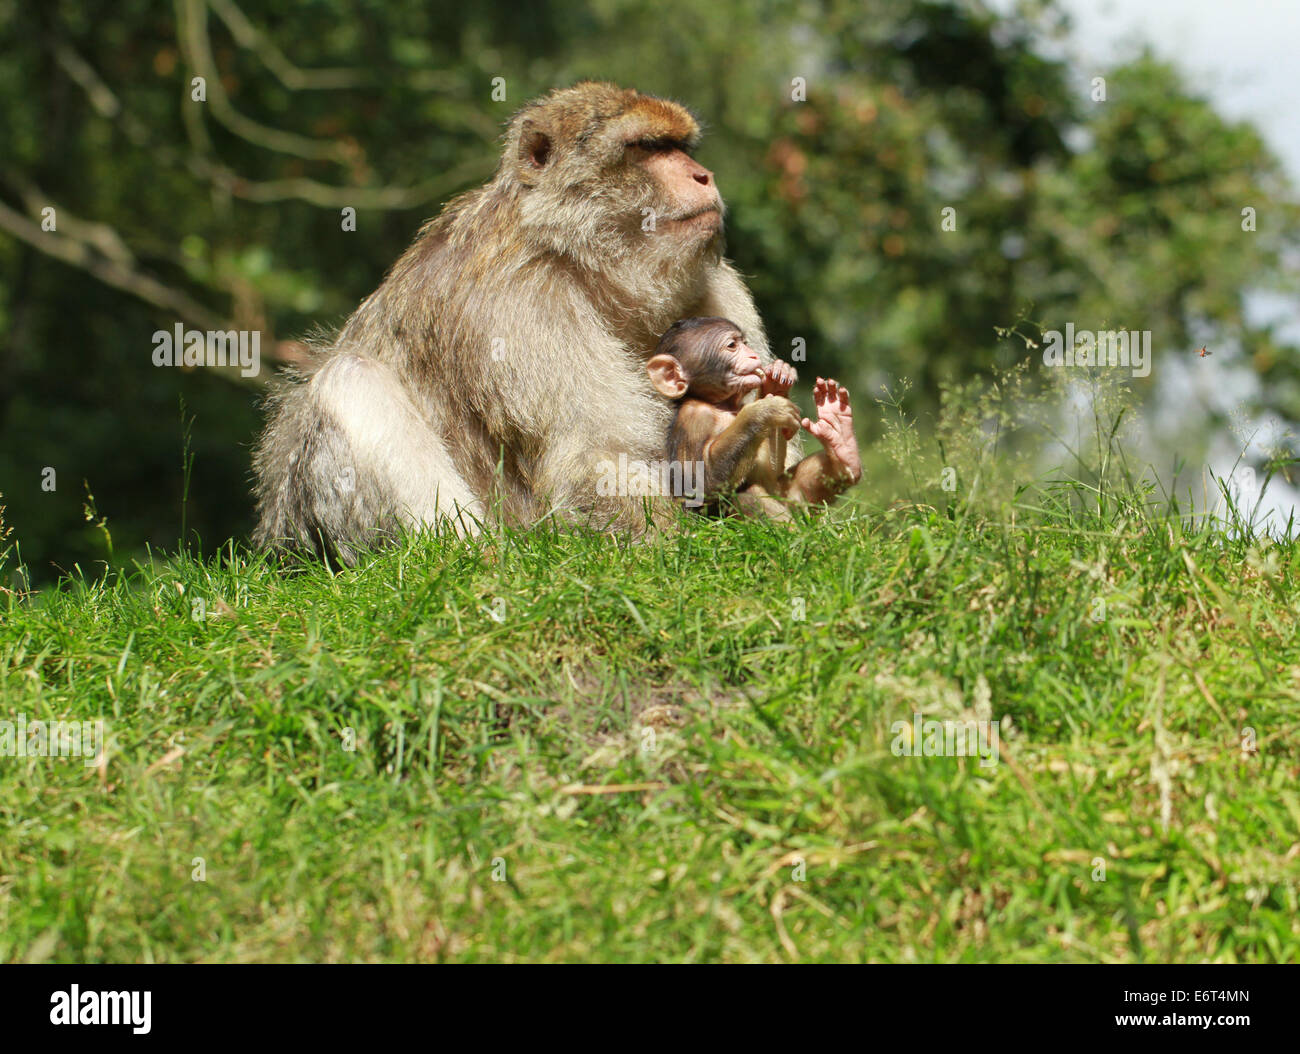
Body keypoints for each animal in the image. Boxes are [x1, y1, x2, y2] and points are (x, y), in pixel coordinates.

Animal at [252, 83, 797, 563]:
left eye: (679, 147)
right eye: (648, 148)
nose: (703, 176)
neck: (584, 259)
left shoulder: (716, 288)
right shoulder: (522, 303)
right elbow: (591, 457)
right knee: (351, 380)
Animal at [646, 316, 862, 517]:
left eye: (745, 342)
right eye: (732, 345)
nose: (753, 354)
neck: (721, 406)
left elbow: (773, 471)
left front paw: (776, 381)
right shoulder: (695, 417)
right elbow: (699, 486)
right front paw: (763, 411)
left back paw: (842, 448)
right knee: (745, 494)